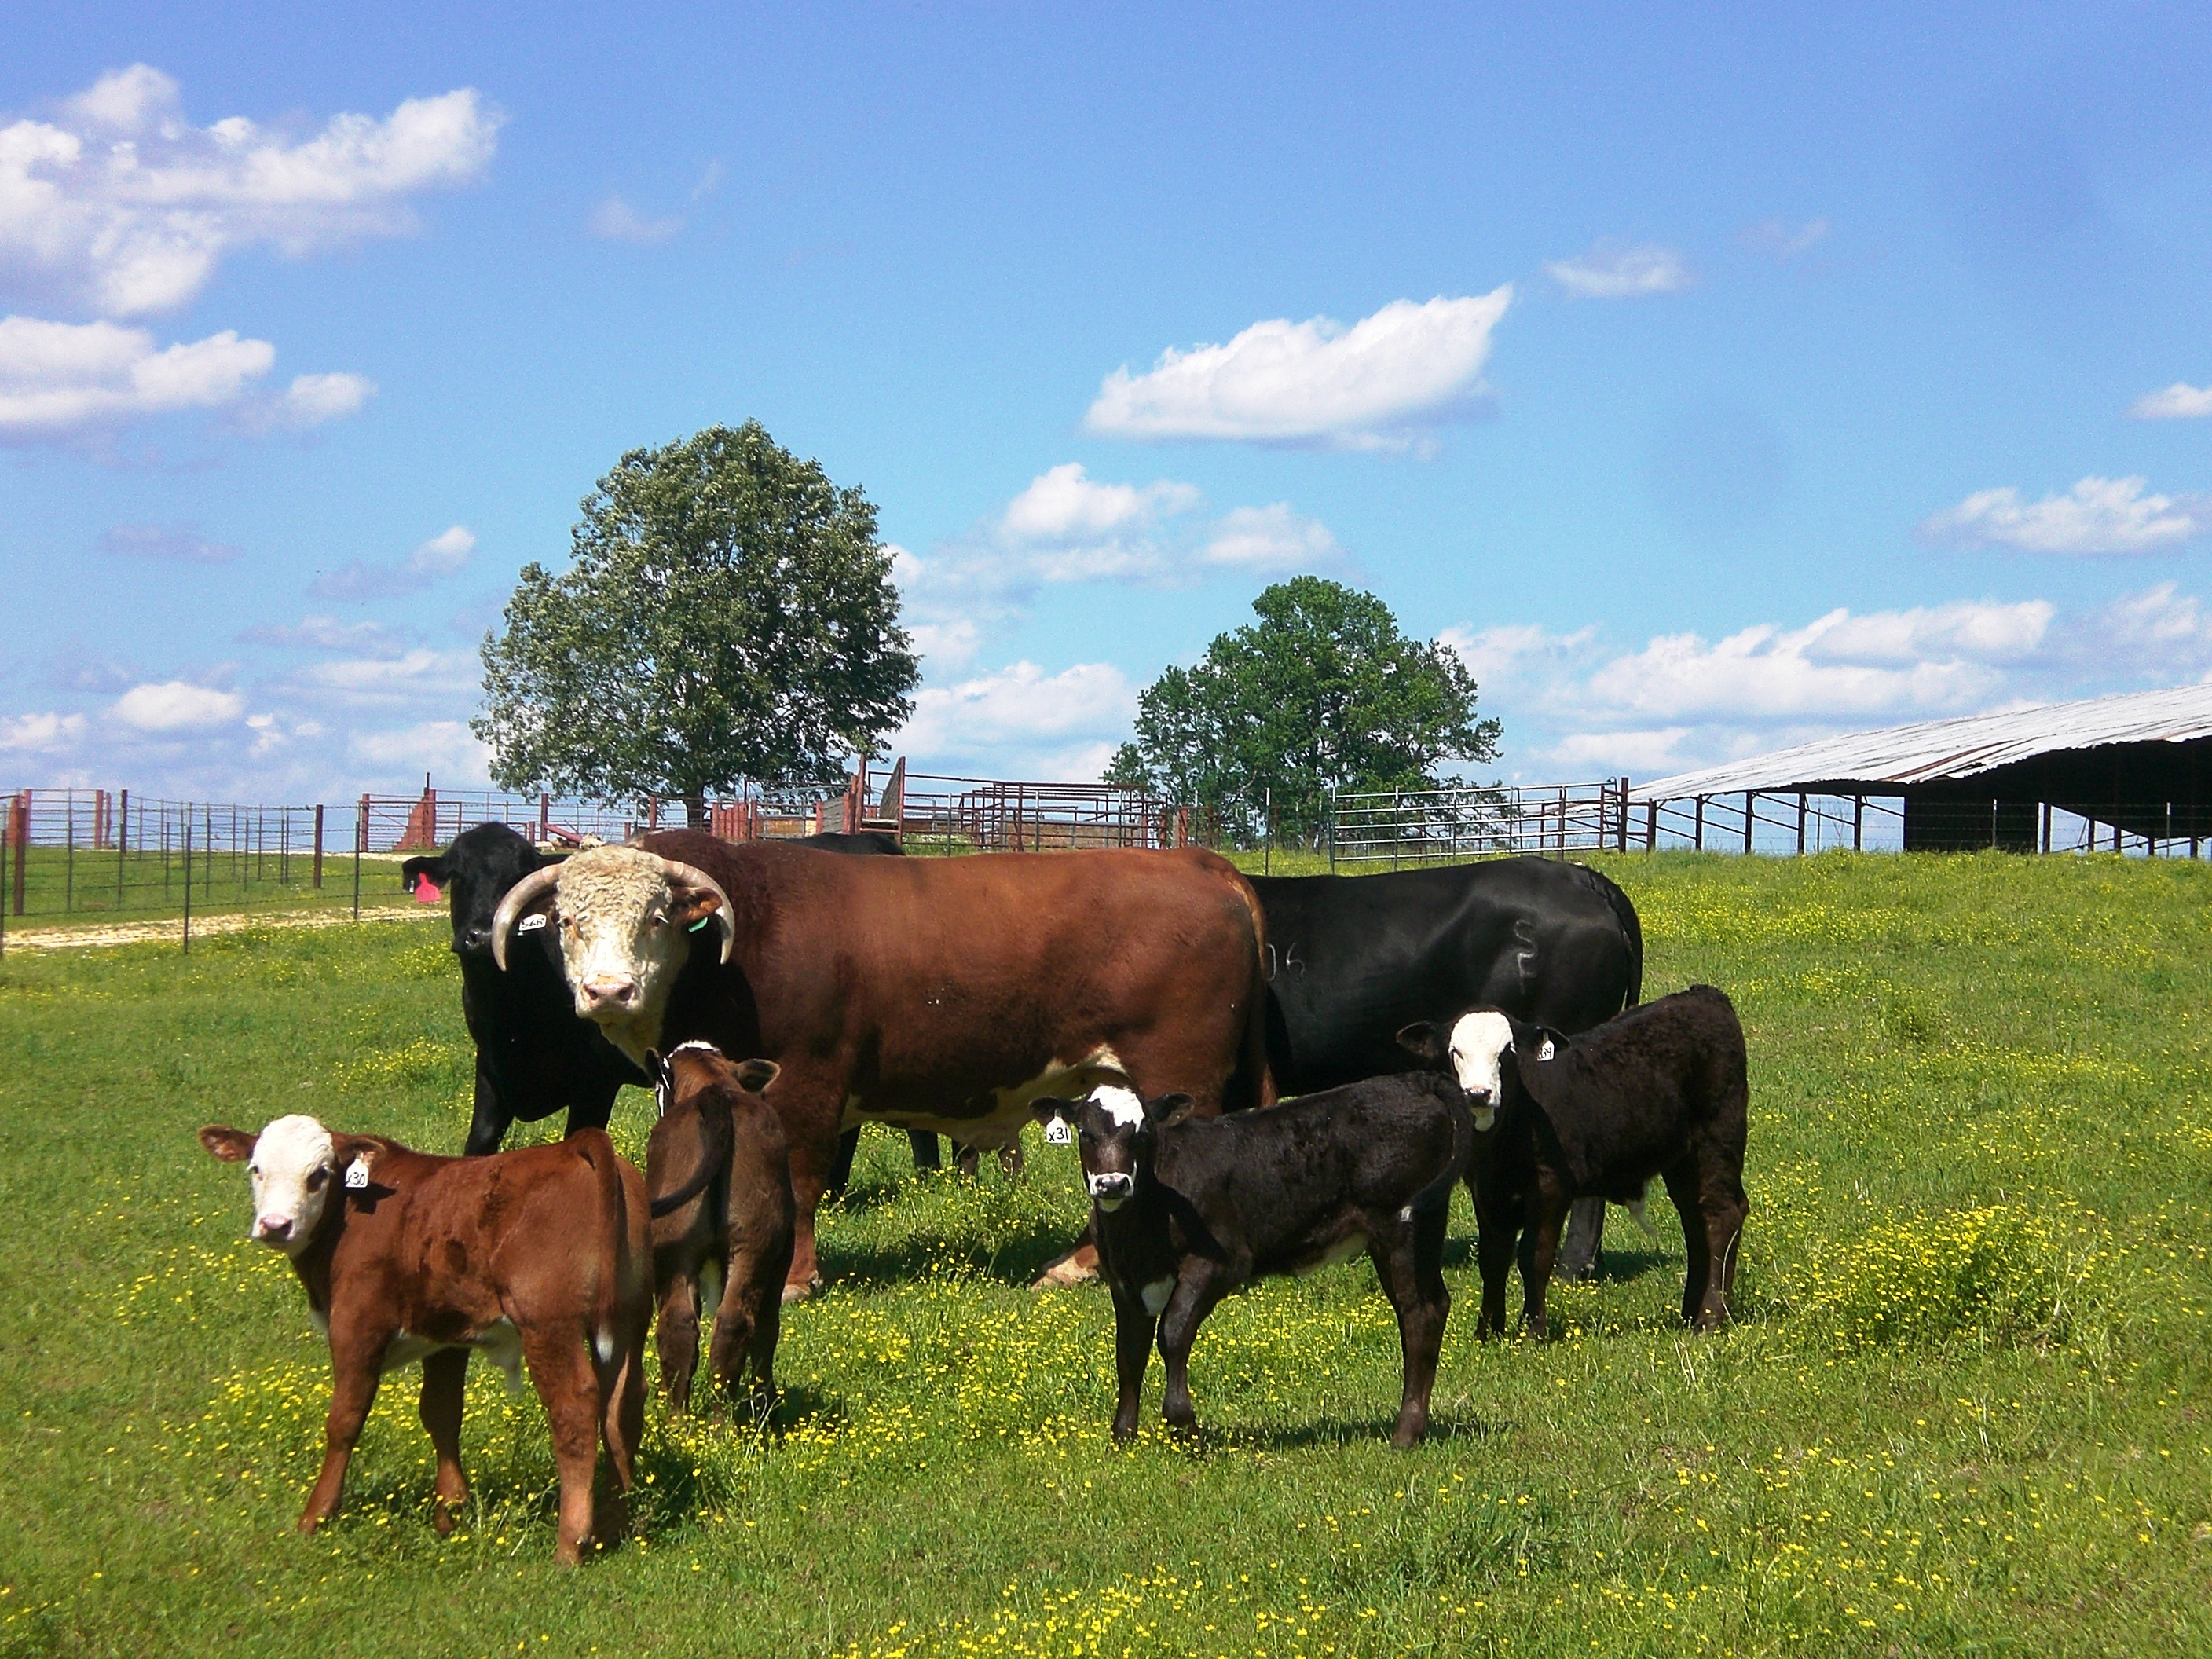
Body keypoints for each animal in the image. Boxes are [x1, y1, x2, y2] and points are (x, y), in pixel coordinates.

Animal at [196, 1117, 652, 1564]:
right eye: (256, 1169)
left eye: (319, 1175)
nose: (275, 1225)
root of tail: (571, 1148)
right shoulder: (447, 1331)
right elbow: (442, 1413)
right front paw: (450, 1510)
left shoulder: (358, 1327)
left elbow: (344, 1420)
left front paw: (316, 1516)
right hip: (629, 1318)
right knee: (623, 1403)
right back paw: (615, 1525)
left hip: (547, 1324)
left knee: (574, 1407)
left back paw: (571, 1544)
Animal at [489, 831, 1270, 1300]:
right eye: (567, 922)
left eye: (656, 917)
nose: (607, 990)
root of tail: (1198, 861)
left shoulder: (808, 1084)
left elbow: (801, 1180)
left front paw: (796, 1277)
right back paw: (1077, 1265)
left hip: (1174, 1074)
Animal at [642, 1042, 795, 1414]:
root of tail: (714, 1099)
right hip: (753, 1242)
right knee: (734, 1322)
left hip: (679, 1247)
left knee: (681, 1323)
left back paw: (677, 1418)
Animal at [1034, 1076, 1471, 1447]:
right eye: (1086, 1133)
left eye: (1142, 1133)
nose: (1112, 1183)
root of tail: (1413, 1080)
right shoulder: (1124, 1280)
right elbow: (1129, 1351)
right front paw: (1123, 1435)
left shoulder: (1220, 1262)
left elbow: (1172, 1332)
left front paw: (1184, 1426)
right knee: (1427, 1307)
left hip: (1407, 1225)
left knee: (1419, 1312)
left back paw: (1405, 1433)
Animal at [1396, 984, 1749, 1340]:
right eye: (1455, 1051)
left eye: (1507, 1052)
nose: (1478, 1093)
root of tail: (1704, 995)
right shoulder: (1486, 1191)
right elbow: (1492, 1259)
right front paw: (1488, 1332)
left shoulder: (1552, 1185)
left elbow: (1534, 1256)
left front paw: (1532, 1329)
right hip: (1683, 1160)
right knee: (1696, 1221)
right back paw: (1690, 1313)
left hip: (1718, 1138)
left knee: (1723, 1215)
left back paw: (1710, 1317)